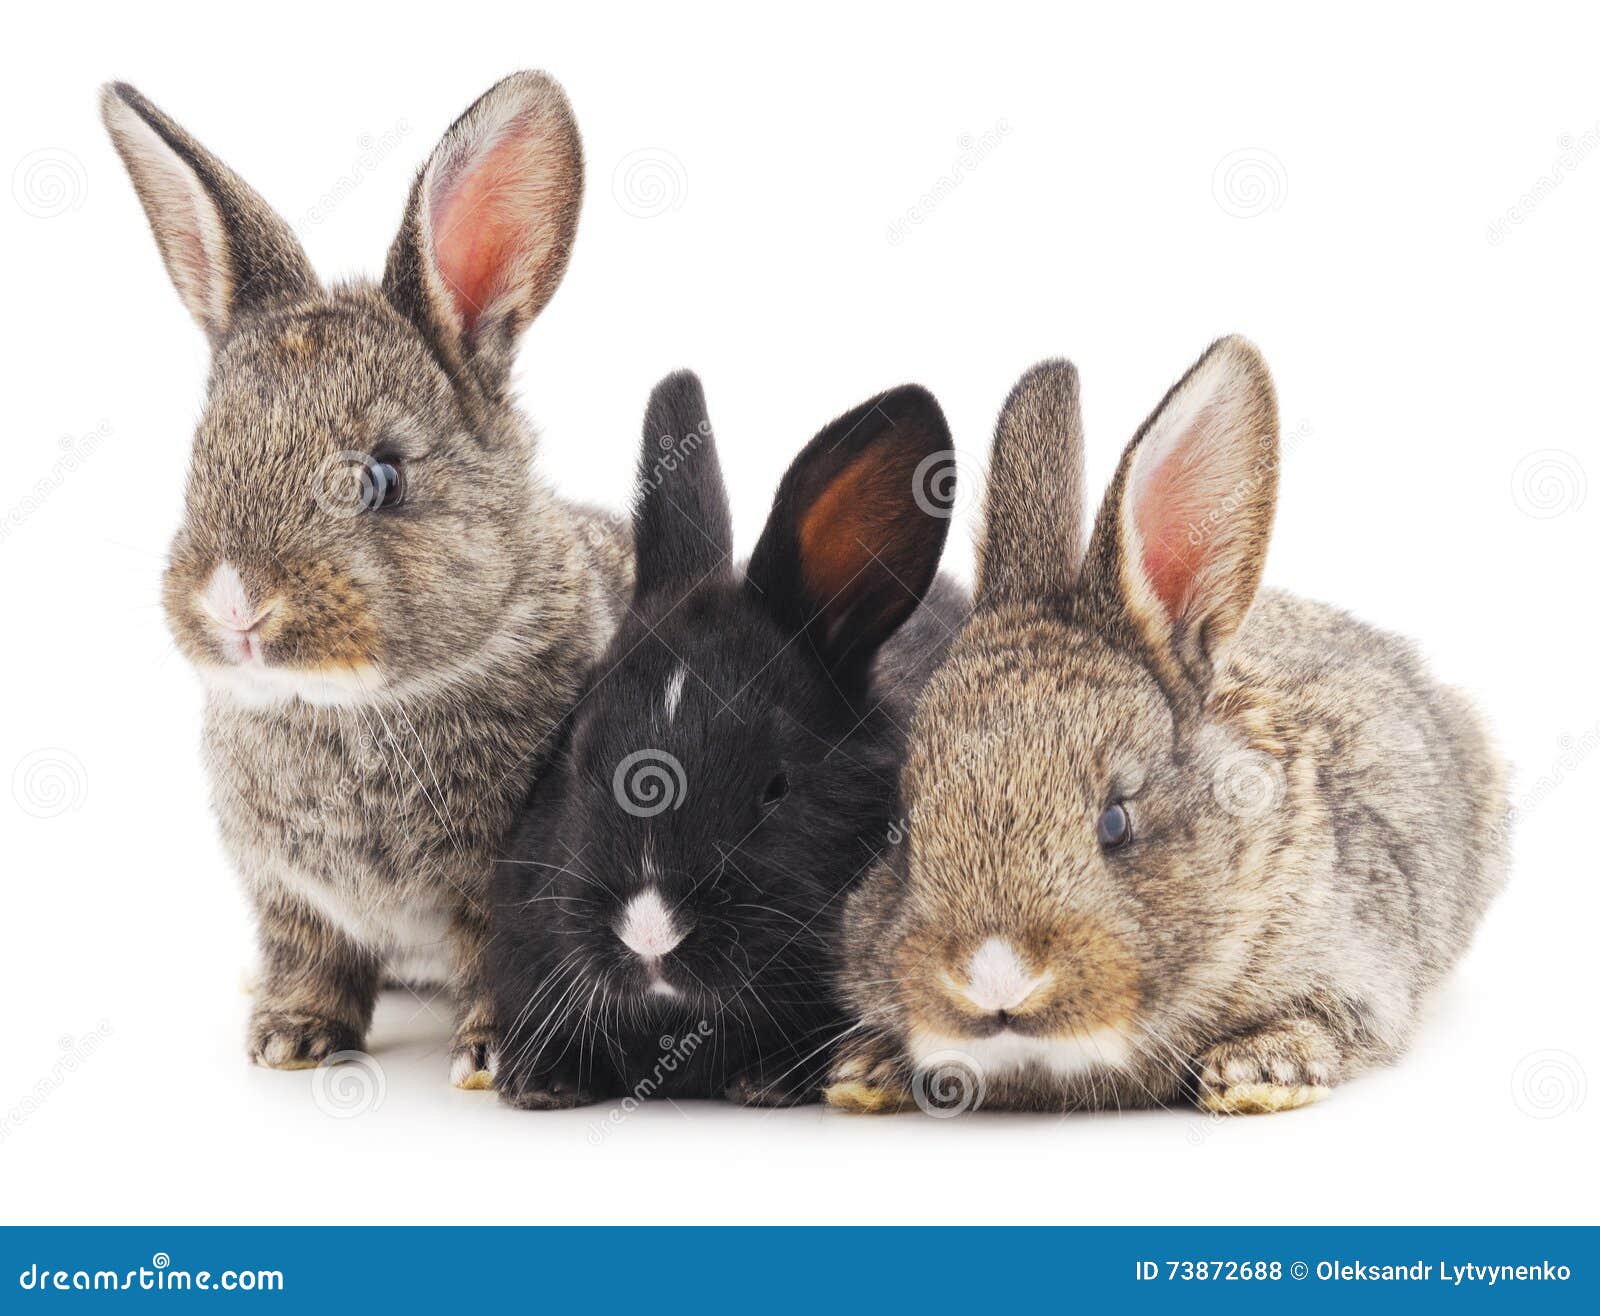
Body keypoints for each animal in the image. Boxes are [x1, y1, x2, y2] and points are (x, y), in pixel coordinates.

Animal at [100, 73, 631, 1086]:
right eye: (201, 462)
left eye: (382, 478)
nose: (235, 604)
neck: (346, 710)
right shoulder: (290, 899)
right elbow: (311, 960)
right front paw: (289, 1038)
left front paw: (493, 1058)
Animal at [824, 337, 1509, 1116]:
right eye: (900, 830)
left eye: (1116, 823)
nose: (994, 977)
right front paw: (867, 1071)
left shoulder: (1362, 966)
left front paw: (1256, 1074)